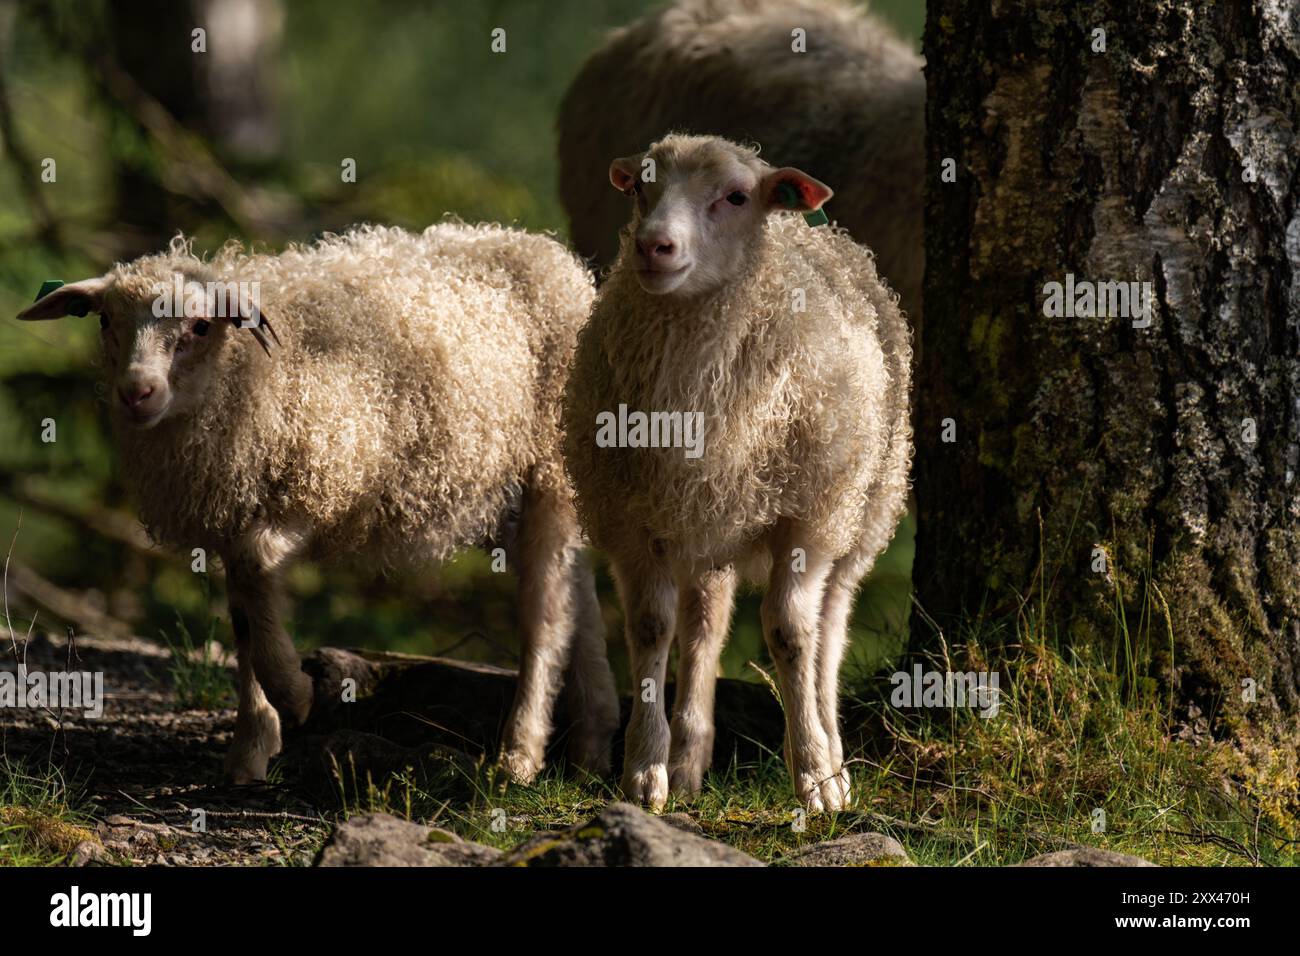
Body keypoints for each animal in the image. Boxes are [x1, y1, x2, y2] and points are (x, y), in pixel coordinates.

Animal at [17, 222, 620, 786]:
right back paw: (594, 741)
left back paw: (521, 753)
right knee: (577, 593)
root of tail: (549, 255)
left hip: (546, 467)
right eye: (104, 321)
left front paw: (295, 696)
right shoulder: (231, 510)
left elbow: (258, 573)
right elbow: (244, 621)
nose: (136, 392)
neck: (241, 380)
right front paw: (251, 746)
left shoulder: (317, 483)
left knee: (546, 613)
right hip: (519, 485)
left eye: (200, 325)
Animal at [562, 134, 912, 811]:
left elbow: (790, 633)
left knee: (830, 628)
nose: (652, 245)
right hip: (707, 520)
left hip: (859, 511)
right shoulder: (634, 520)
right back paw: (688, 760)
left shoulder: (806, 521)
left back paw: (833, 751)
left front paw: (814, 777)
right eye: (640, 187)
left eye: (736, 197)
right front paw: (645, 771)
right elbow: (651, 629)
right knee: (705, 627)